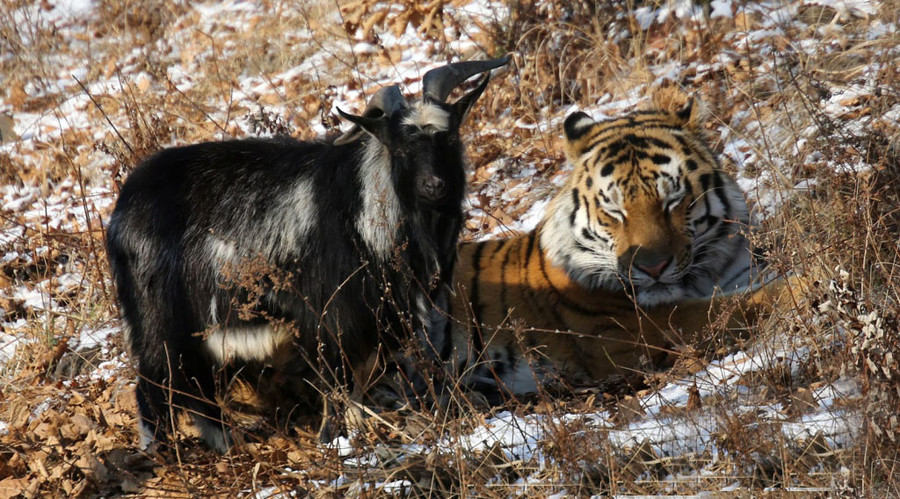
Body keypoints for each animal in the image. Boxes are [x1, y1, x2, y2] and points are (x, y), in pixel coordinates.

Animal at [106, 56, 510, 452]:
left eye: (450, 137)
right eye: (401, 149)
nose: (434, 186)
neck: (365, 205)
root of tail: (122, 211)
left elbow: (356, 387)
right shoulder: (330, 317)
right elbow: (337, 386)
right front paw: (336, 442)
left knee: (196, 389)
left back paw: (228, 447)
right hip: (160, 322)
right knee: (155, 389)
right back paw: (164, 456)